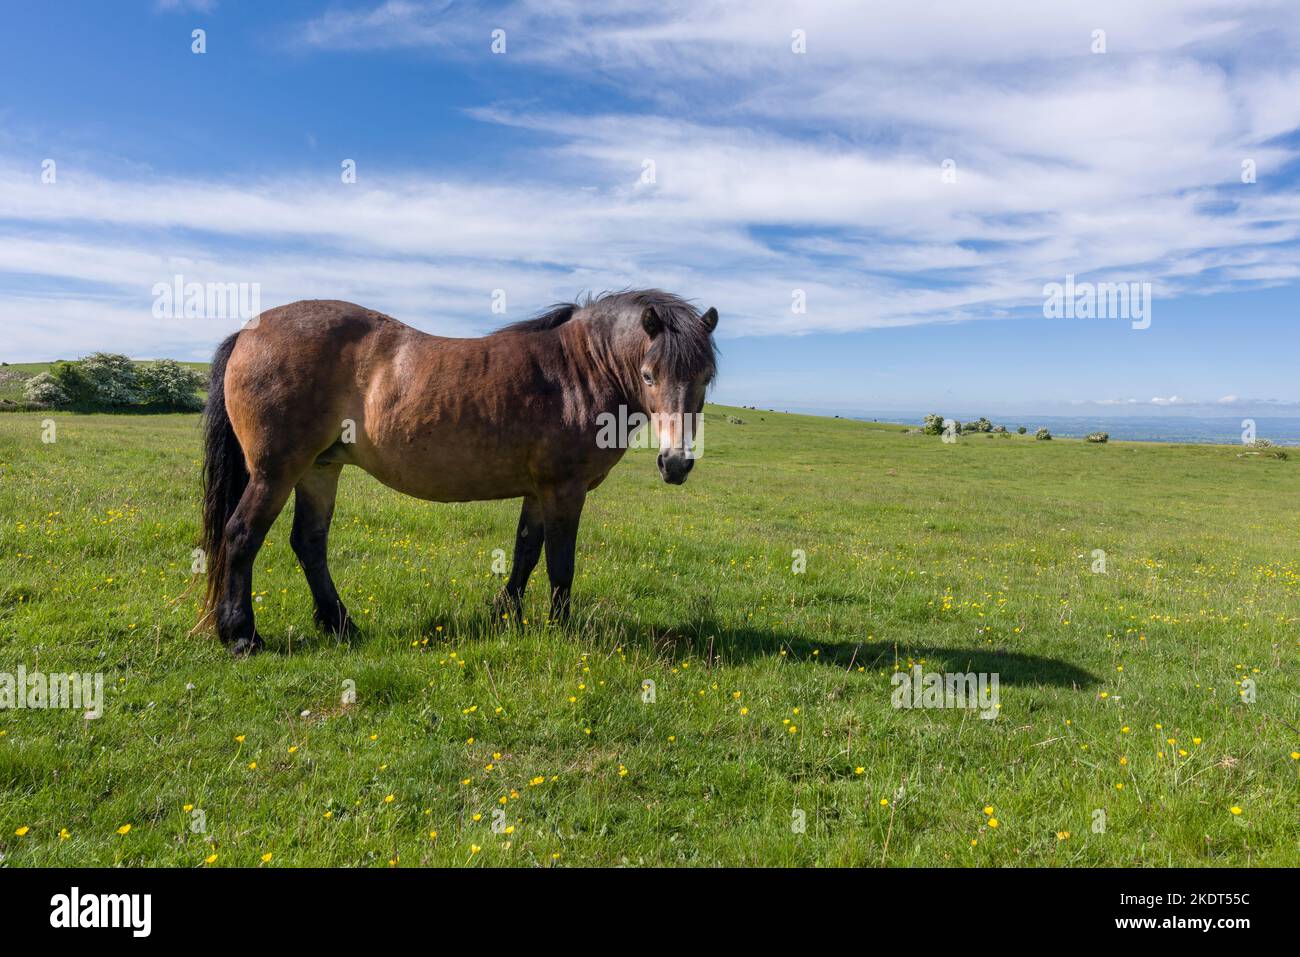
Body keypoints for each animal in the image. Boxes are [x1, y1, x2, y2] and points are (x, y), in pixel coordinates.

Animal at [199, 290, 719, 655]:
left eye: (704, 378)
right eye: (649, 374)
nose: (675, 463)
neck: (578, 372)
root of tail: (248, 333)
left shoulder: (538, 491)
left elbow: (525, 552)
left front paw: (506, 614)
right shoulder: (565, 491)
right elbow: (560, 564)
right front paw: (561, 628)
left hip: (318, 471)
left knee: (309, 543)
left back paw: (341, 624)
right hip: (276, 473)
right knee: (242, 535)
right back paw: (243, 635)